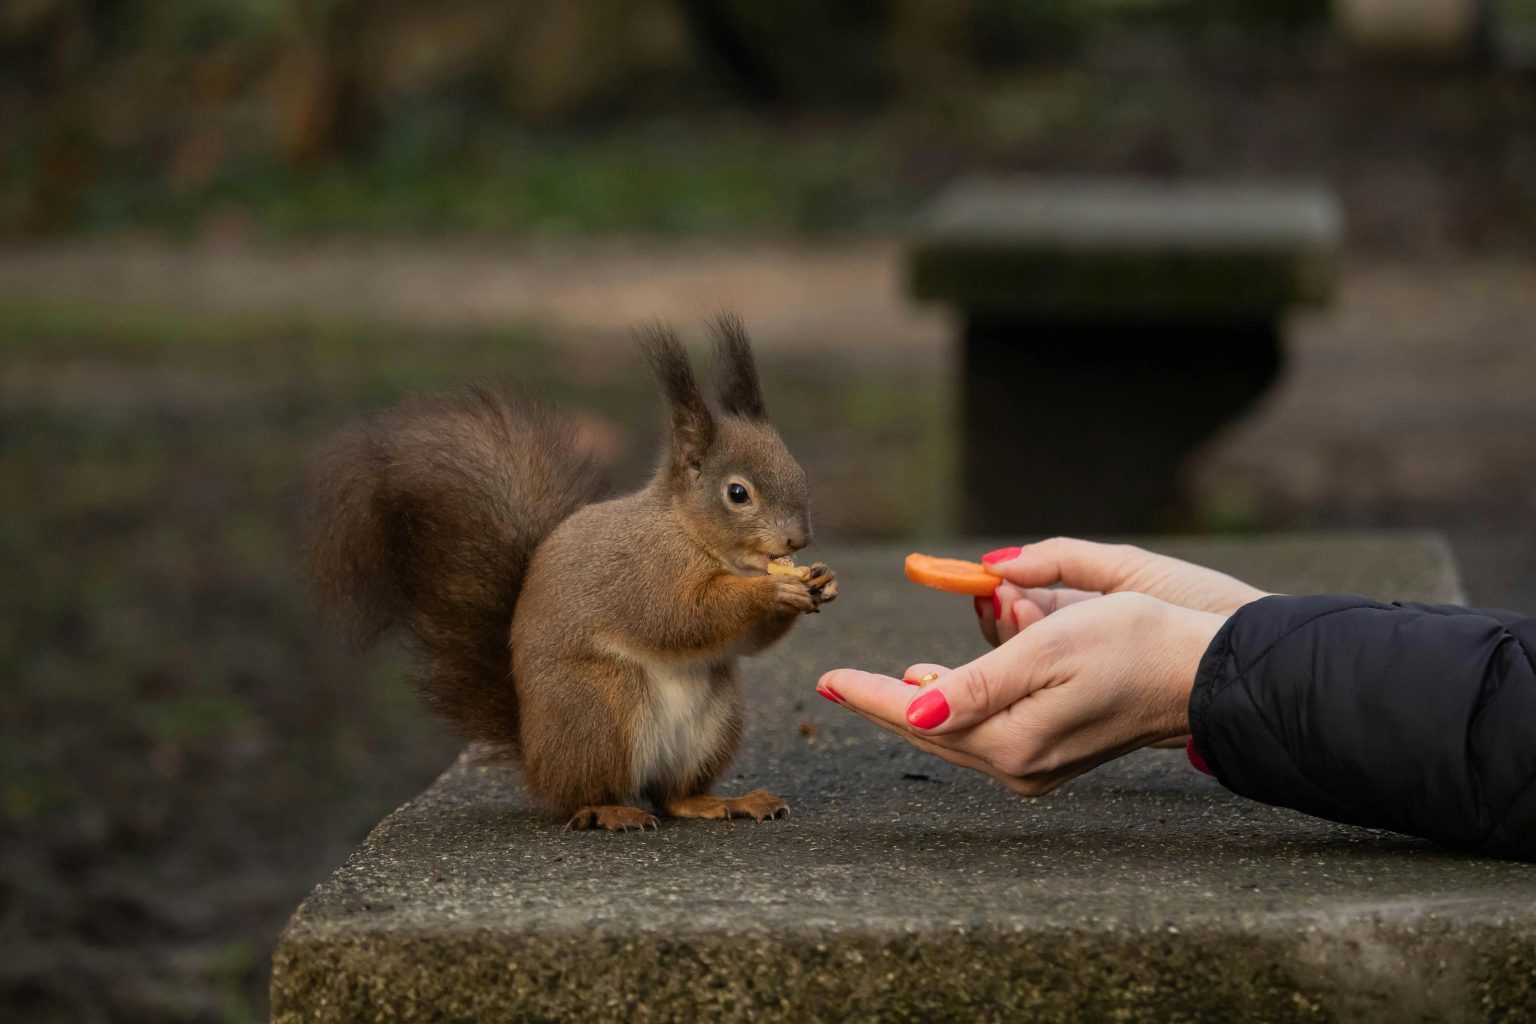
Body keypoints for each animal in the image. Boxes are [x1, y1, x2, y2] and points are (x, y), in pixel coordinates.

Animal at [302, 315, 836, 832]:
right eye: (737, 493)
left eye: (801, 474)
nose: (798, 541)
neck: (692, 535)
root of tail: (536, 762)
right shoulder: (644, 573)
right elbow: (679, 617)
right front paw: (773, 589)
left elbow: (748, 642)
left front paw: (820, 579)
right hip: (601, 705)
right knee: (585, 797)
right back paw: (611, 812)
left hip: (713, 722)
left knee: (671, 796)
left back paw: (722, 802)